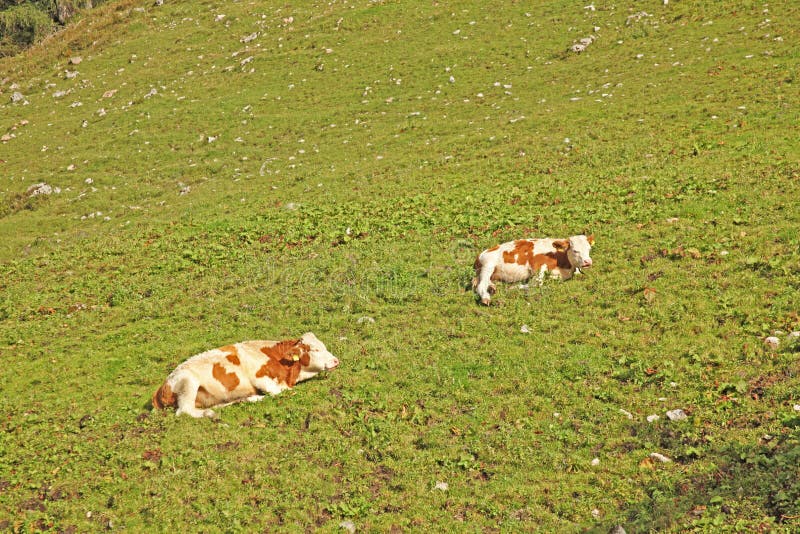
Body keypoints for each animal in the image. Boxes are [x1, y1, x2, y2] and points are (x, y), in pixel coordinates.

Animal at [152, 332, 339, 418]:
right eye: (315, 349)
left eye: (324, 345)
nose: (336, 360)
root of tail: (163, 385)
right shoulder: (260, 379)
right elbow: (282, 392)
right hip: (188, 383)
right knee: (184, 411)